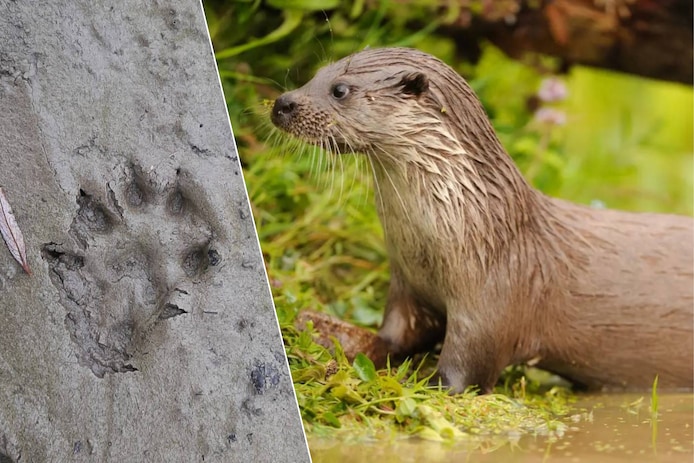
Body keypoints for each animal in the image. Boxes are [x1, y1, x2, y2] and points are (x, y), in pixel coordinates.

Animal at [271, 47, 694, 393]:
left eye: (340, 90)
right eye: (315, 75)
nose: (282, 103)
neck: (476, 227)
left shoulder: (493, 301)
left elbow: (465, 370)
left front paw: (420, 383)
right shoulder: (407, 285)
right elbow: (393, 337)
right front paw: (327, 331)